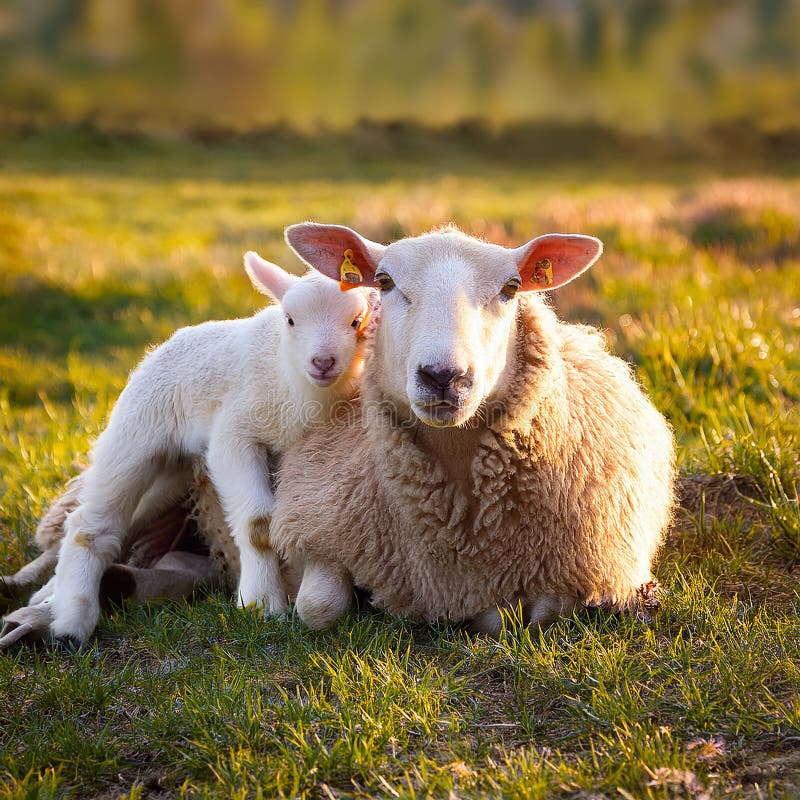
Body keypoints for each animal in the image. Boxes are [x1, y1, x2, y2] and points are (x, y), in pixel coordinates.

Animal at [26, 252, 376, 645]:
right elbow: (257, 525)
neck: (293, 382)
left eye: (356, 321)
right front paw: (260, 603)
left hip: (173, 473)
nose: (322, 362)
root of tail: (172, 339)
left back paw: (53, 598)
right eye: (290, 319)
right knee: (89, 524)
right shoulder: (234, 434)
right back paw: (72, 620)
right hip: (136, 432)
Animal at [267, 222, 677, 633]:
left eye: (511, 287)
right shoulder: (317, 523)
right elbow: (317, 606)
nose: (442, 376)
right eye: (384, 281)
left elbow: (513, 615)